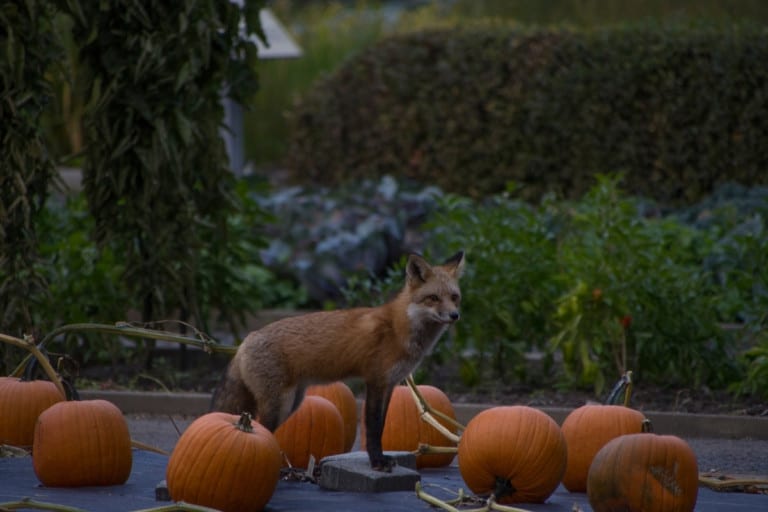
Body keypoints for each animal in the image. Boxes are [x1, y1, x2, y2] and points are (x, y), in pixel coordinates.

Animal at [211, 251, 465, 471]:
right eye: (433, 298)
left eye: (454, 297)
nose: (455, 315)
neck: (399, 328)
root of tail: (245, 341)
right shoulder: (376, 381)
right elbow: (373, 427)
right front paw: (377, 462)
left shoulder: (390, 384)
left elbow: (382, 425)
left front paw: (381, 458)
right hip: (278, 405)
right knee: (258, 429)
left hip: (292, 403)